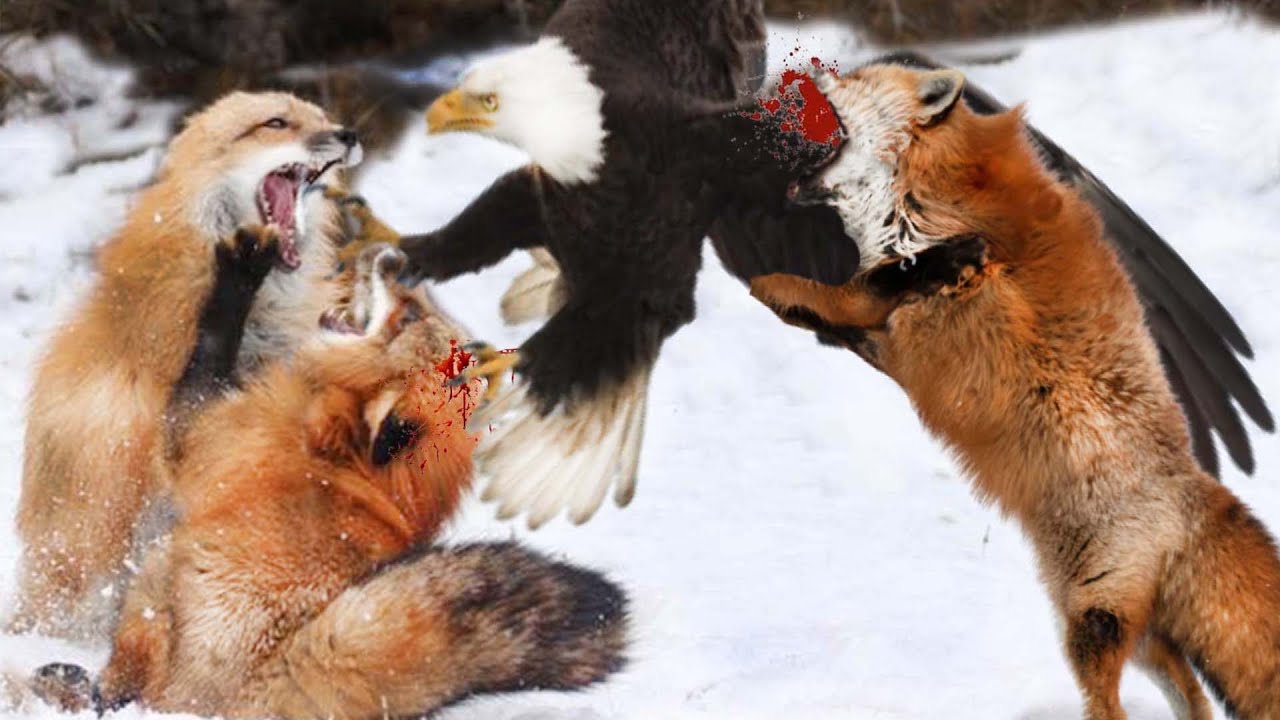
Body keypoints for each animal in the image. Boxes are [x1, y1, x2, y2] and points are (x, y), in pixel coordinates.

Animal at [29, 236, 628, 719]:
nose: (393, 258)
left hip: (157, 576)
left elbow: (210, 350)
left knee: (119, 695)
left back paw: (74, 684)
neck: (333, 449)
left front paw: (241, 273)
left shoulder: (199, 432)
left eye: (407, 318)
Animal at [749, 63, 1280, 720]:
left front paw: (780, 286)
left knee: (1116, 705)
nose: (804, 69)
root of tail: (1194, 488)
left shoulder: (953, 303)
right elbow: (841, 302)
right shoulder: (893, 326)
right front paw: (781, 294)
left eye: (854, 78)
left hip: (1092, 624)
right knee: (1192, 697)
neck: (923, 196)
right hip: (1140, 641)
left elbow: (872, 287)